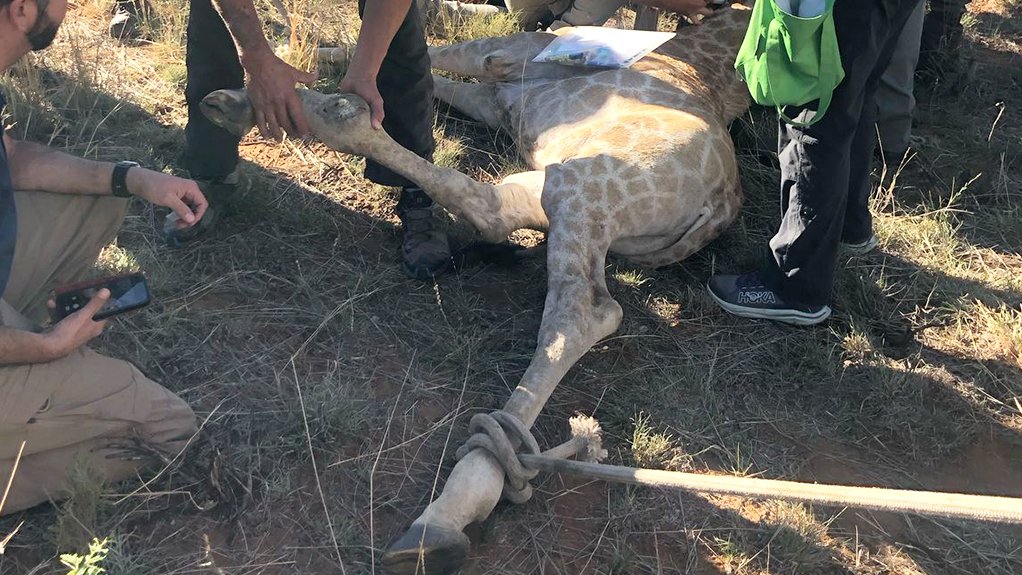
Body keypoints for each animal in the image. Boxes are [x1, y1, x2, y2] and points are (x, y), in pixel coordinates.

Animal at [199, 4, 753, 572]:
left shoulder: (501, 51)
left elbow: (431, 55)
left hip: (585, 185)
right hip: (559, 186)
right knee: (504, 217)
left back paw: (453, 506)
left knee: (577, 305)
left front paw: (298, 62)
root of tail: (721, 204)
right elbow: (433, 80)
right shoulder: (497, 99)